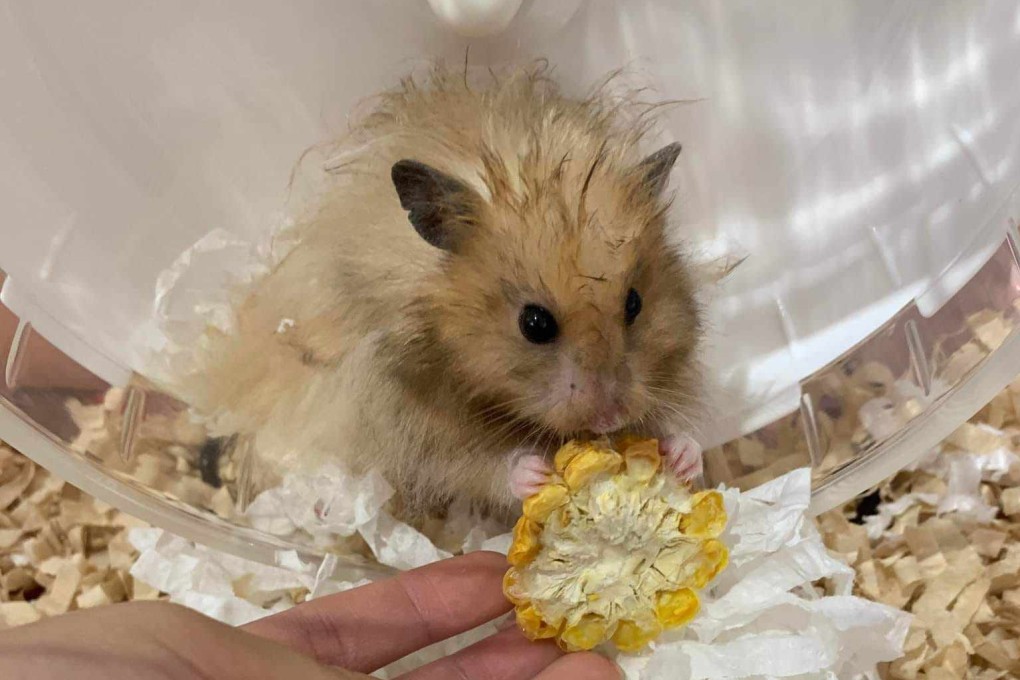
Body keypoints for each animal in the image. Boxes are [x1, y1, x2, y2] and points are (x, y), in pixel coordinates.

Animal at [175, 63, 705, 519]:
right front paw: (535, 470)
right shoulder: (410, 422)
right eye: (534, 324)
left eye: (635, 303)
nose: (611, 420)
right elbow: (476, 465)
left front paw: (683, 455)